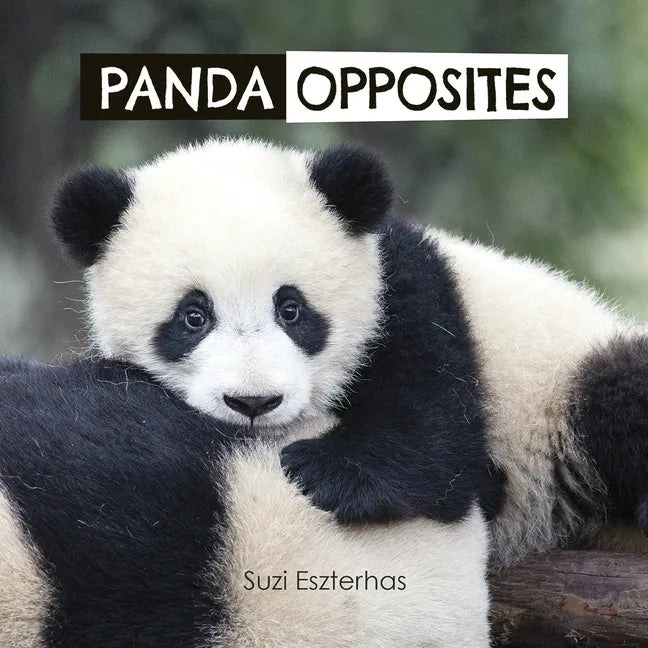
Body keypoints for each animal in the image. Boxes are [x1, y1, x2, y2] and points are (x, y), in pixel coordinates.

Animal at [50, 137, 648, 566]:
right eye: (193, 317)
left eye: (292, 309)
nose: (254, 403)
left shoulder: (412, 297)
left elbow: (434, 431)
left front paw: (329, 473)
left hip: (568, 378)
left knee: (615, 391)